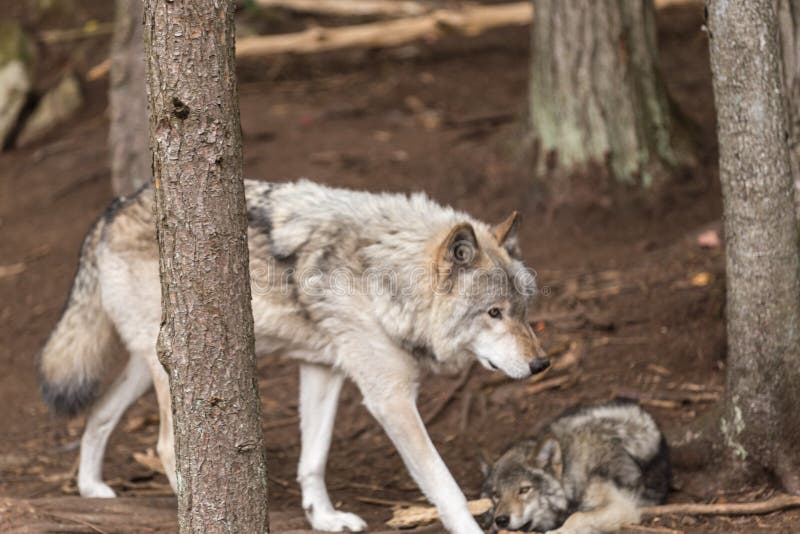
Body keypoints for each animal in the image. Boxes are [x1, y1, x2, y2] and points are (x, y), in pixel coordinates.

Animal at [38, 179, 550, 533]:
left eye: (523, 312)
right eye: (493, 313)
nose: (541, 364)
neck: (383, 275)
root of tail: (114, 207)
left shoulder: (322, 370)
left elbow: (313, 460)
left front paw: (324, 519)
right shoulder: (390, 398)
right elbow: (446, 487)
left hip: (149, 366)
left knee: (99, 413)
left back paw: (90, 488)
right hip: (168, 373)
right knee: (164, 445)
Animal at [481, 401, 670, 534]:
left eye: (524, 490)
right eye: (496, 495)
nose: (501, 520)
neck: (572, 468)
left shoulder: (622, 506)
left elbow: (577, 516)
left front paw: (558, 531)